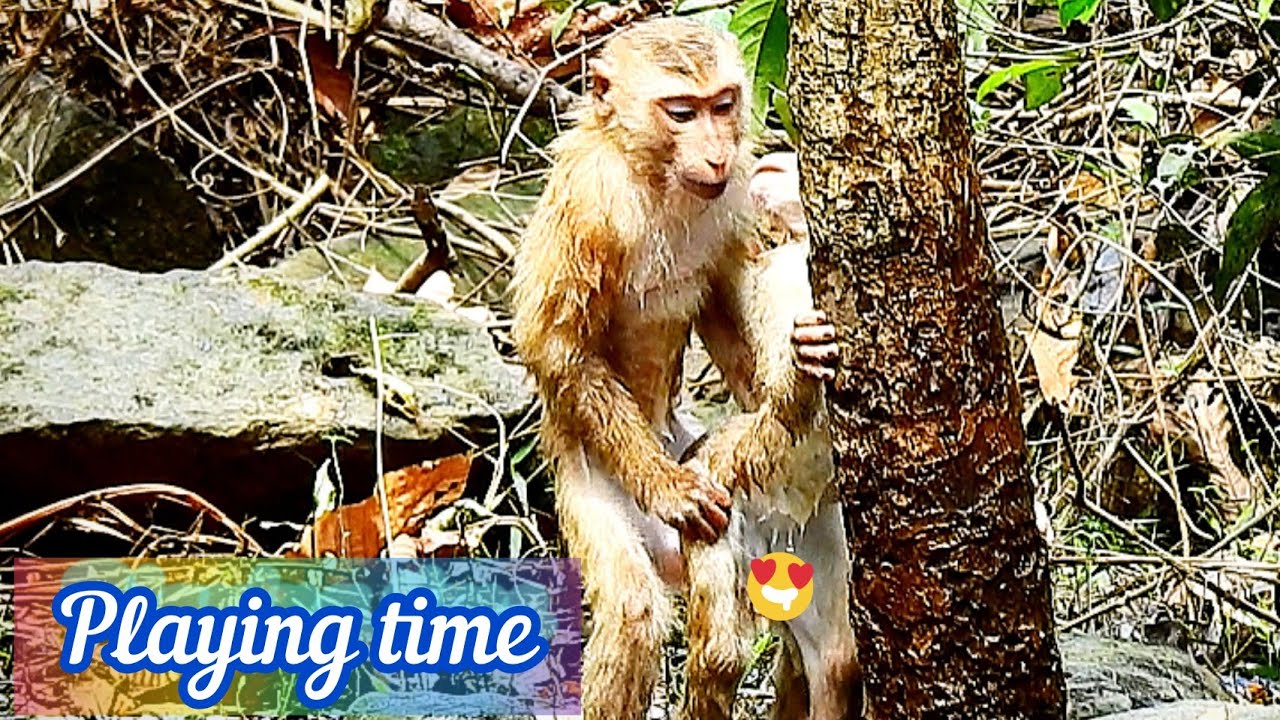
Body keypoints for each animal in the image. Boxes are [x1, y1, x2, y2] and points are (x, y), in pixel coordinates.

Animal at [509, 18, 858, 720]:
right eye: (681, 112)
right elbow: (554, 345)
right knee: (640, 613)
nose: (719, 153)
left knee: (833, 658)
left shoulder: (734, 201)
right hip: (604, 480)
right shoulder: (588, 197)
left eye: (722, 105)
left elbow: (728, 311)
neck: (656, 180)